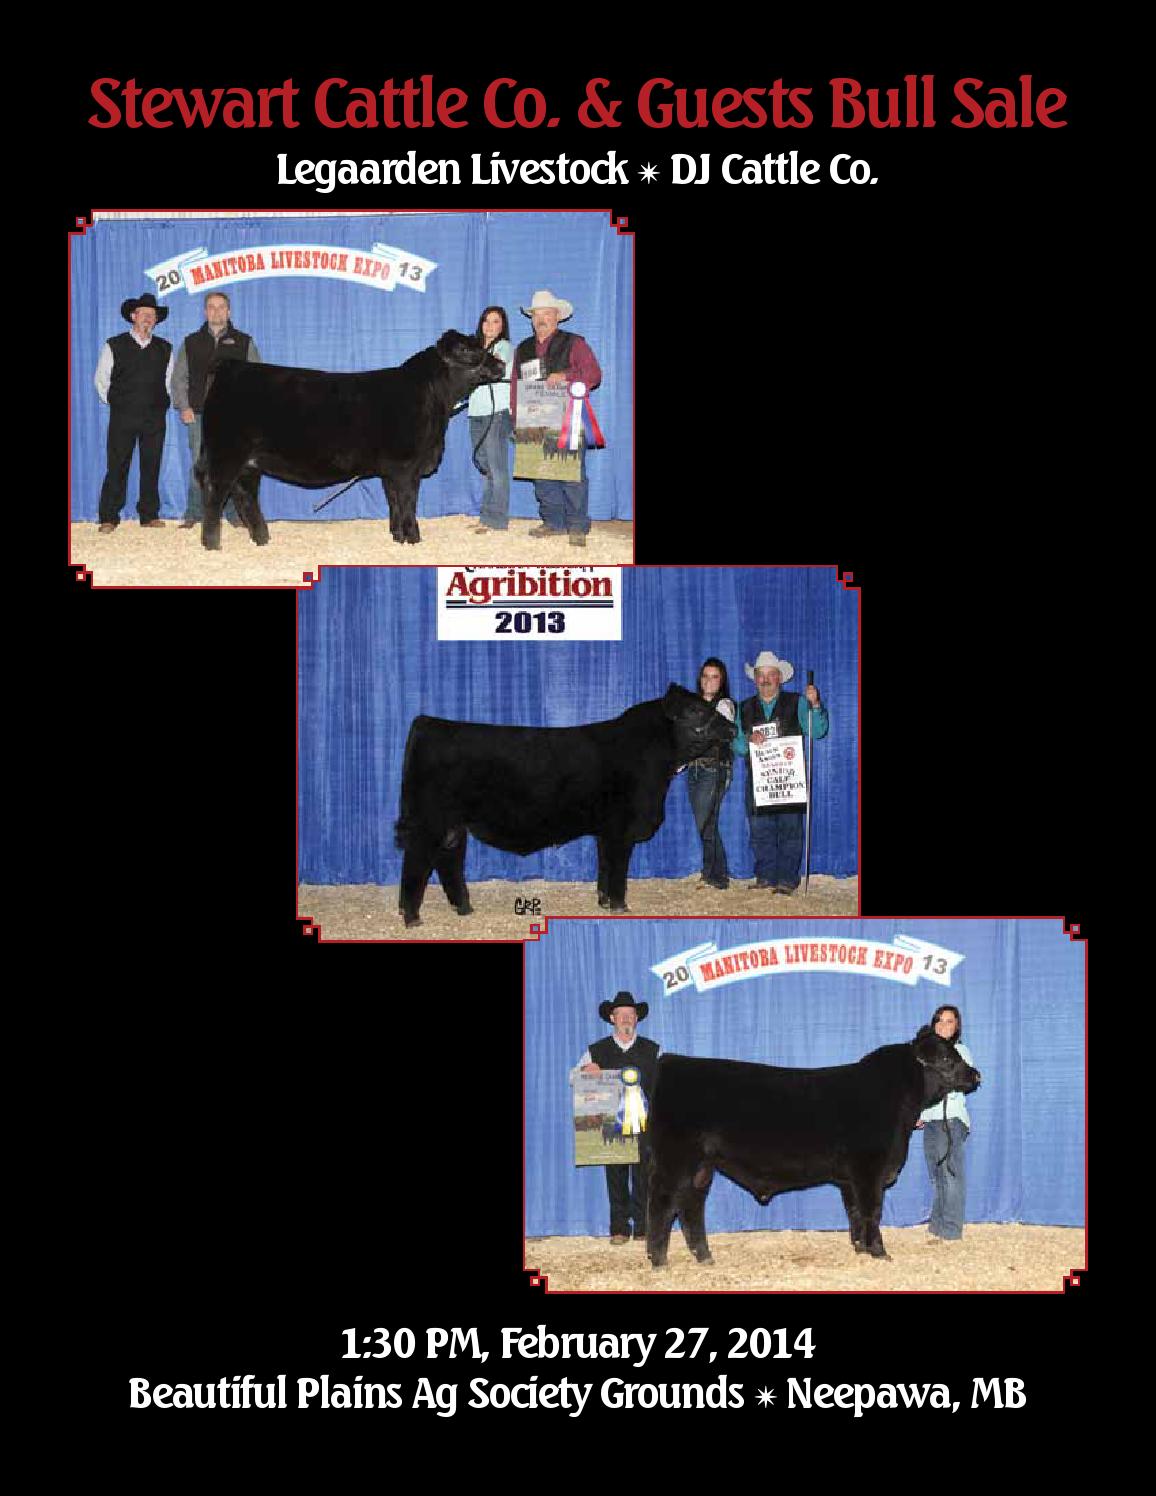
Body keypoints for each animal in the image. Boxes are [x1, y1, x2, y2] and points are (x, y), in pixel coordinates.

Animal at [195, 331, 504, 550]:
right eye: (466, 349)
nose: (500, 364)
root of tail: (230, 365)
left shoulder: (390, 469)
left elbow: (394, 501)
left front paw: (397, 536)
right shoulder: (406, 466)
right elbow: (408, 502)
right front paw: (413, 538)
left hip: (249, 462)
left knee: (245, 495)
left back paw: (261, 539)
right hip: (226, 455)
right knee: (216, 493)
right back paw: (212, 544)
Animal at [395, 684, 736, 926]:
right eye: (694, 709)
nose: (732, 729)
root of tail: (428, 723)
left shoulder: (605, 831)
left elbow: (604, 867)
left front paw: (603, 901)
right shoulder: (619, 830)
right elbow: (617, 870)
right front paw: (620, 906)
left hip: (452, 825)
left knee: (448, 861)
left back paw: (463, 908)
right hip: (429, 821)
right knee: (417, 862)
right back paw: (412, 917)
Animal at [645, 1029, 980, 1268]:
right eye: (947, 1059)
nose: (976, 1074)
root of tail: (671, 1060)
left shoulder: (850, 1179)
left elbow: (855, 1212)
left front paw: (860, 1248)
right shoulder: (868, 1170)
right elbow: (872, 1211)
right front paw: (879, 1251)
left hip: (702, 1167)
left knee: (691, 1206)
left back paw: (704, 1257)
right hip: (675, 1160)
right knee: (663, 1203)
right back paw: (659, 1260)